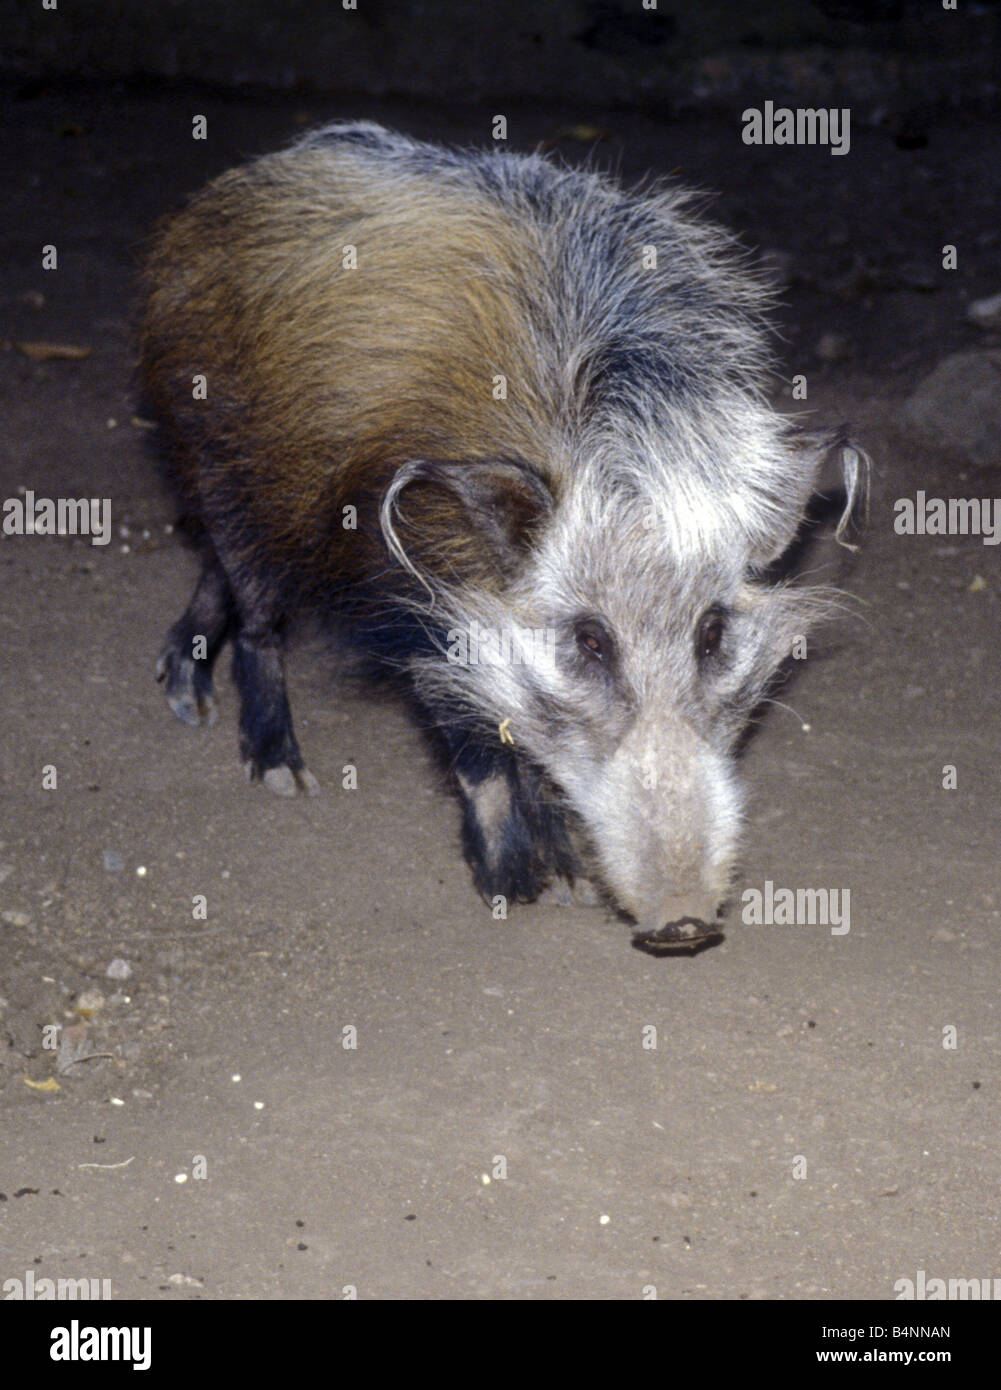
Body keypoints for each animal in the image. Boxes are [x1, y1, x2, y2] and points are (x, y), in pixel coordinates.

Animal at [139, 120, 864, 946]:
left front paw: (567, 882)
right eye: (588, 638)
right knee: (255, 600)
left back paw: (187, 695)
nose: (683, 925)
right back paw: (276, 771)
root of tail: (228, 189)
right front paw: (517, 887)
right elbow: (478, 740)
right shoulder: (418, 588)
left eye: (711, 632)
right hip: (219, 450)